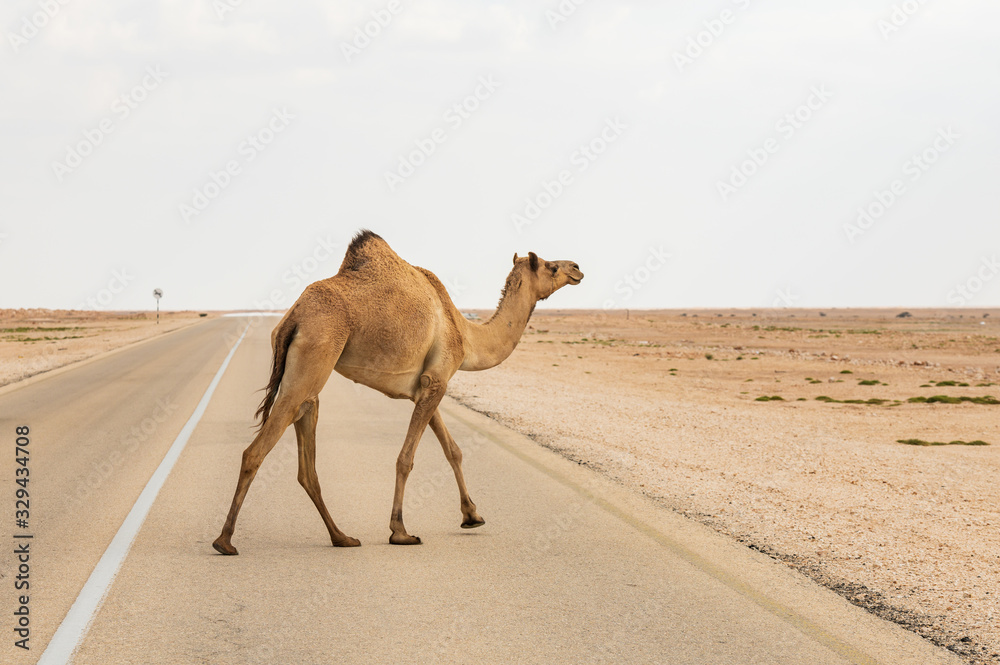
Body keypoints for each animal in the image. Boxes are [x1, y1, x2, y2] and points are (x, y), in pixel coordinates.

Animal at [213, 230, 583, 554]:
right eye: (551, 266)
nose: (577, 267)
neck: (465, 334)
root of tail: (293, 317)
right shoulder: (437, 380)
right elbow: (406, 458)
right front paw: (400, 531)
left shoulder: (426, 387)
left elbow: (453, 450)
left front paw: (472, 515)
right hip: (317, 350)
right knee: (256, 450)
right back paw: (225, 541)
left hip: (307, 378)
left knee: (306, 458)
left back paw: (342, 537)